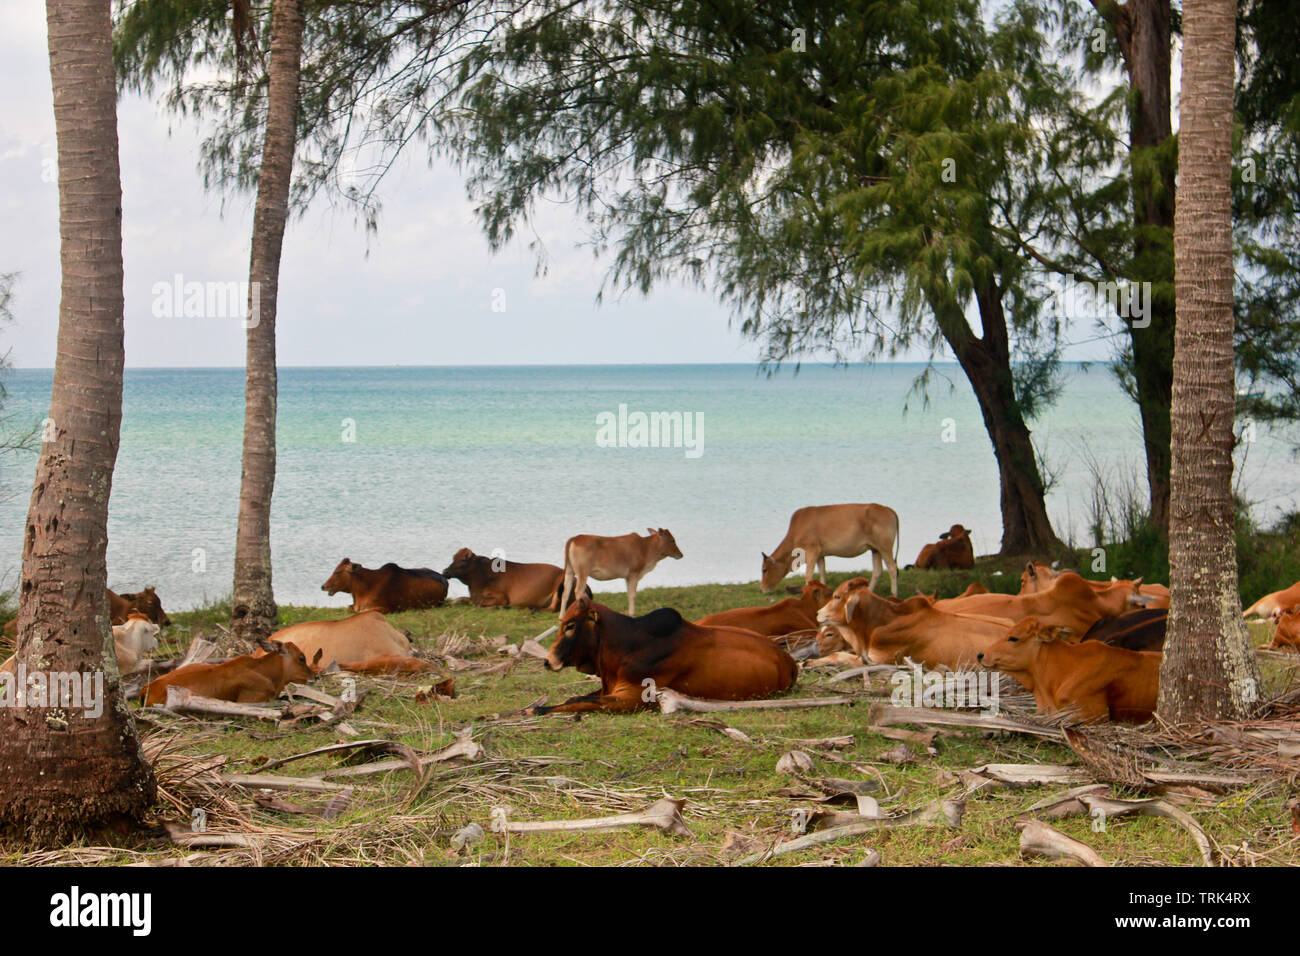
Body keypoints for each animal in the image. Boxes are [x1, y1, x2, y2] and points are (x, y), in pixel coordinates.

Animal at [441, 547, 587, 610]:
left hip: (560, 586)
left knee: (553, 607)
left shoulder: (501, 597)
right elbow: (460, 599)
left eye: (463, 559)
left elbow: (480, 603)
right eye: (453, 557)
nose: (445, 571)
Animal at [528, 597, 797, 714]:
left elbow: (577, 701)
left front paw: (534, 710)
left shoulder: (633, 698)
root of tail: (788, 659)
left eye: (571, 625)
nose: (548, 661)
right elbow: (576, 697)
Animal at [760, 503, 900, 597]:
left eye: (764, 570)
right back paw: (869, 591)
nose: (762, 589)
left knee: (892, 568)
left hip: (885, 547)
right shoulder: (820, 555)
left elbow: (808, 575)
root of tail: (888, 509)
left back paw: (894, 594)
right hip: (875, 549)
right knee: (878, 571)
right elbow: (822, 572)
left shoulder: (812, 551)